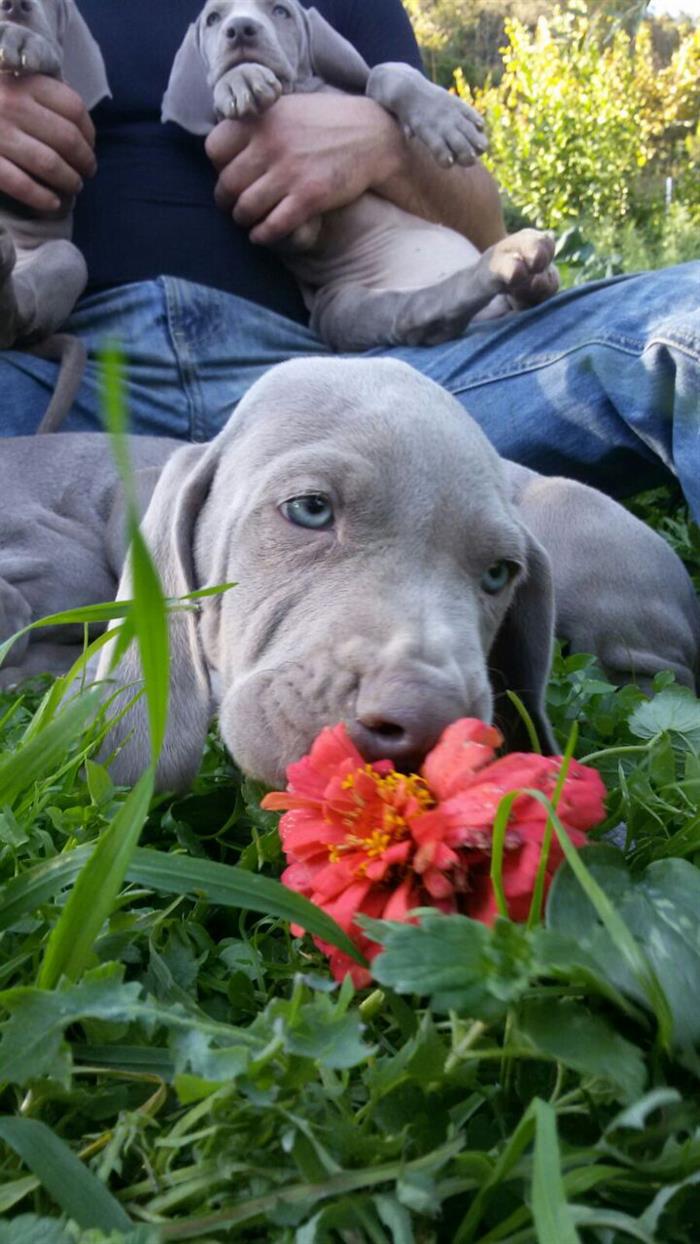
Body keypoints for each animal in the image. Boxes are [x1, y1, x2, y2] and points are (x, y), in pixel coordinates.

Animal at [162, 1, 559, 350]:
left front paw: (445, 117)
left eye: (280, 10)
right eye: (213, 19)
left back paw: (532, 282)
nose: (241, 30)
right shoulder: (284, 217)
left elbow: (386, 71)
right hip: (346, 306)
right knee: (420, 313)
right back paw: (507, 259)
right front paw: (239, 78)